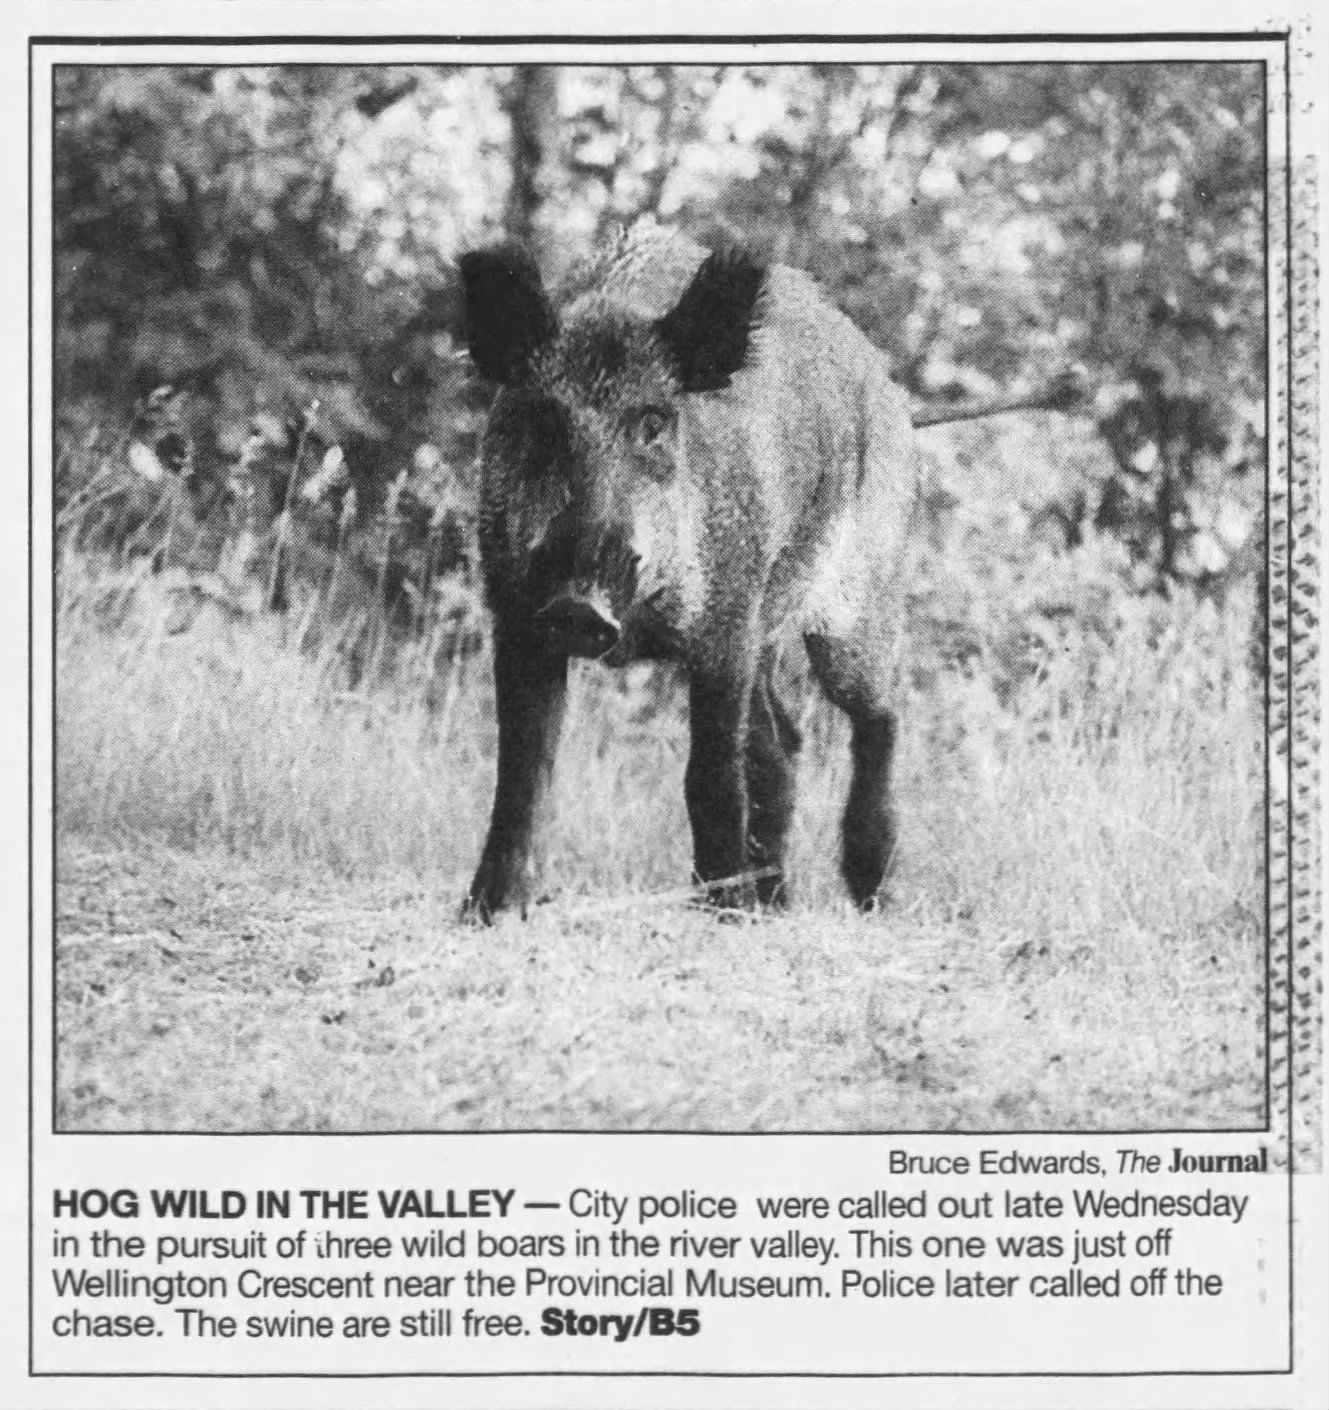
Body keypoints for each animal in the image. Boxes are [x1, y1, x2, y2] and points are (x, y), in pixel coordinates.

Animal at [458, 221, 918, 920]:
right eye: (545, 422)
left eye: (652, 424)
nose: (579, 604)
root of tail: (885, 381)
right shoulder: (516, 619)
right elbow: (521, 769)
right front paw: (485, 910)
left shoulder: (727, 621)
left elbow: (709, 774)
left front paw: (720, 909)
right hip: (772, 632)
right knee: (782, 740)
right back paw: (775, 902)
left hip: (859, 596)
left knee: (878, 714)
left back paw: (868, 896)